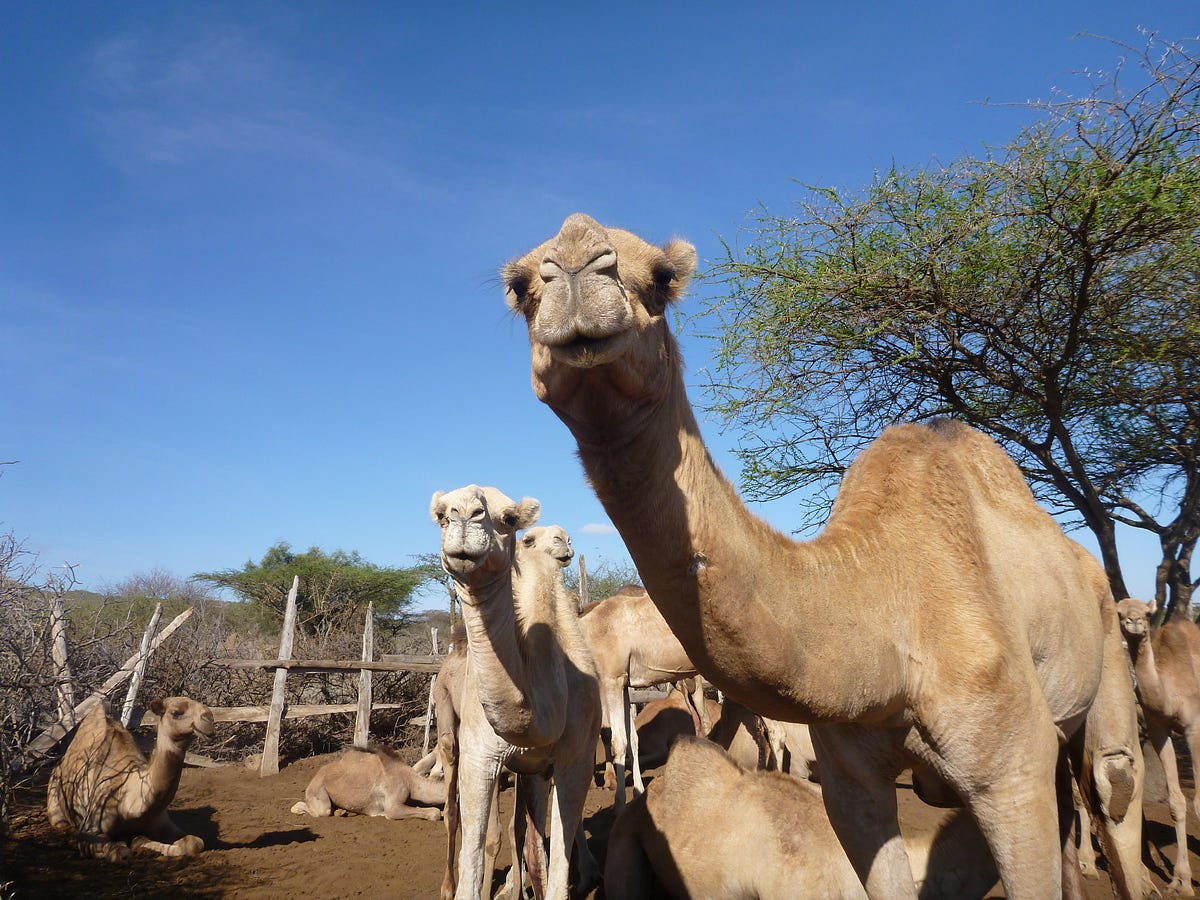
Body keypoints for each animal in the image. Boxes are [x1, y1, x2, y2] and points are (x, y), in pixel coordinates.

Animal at [47, 696, 214, 860]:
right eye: (176, 712)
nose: (209, 718)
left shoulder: (160, 821)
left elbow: (195, 843)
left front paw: (140, 842)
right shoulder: (90, 828)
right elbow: (121, 853)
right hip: (55, 802)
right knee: (63, 825)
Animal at [289, 744, 445, 820]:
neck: (411, 782)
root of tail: (315, 777)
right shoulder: (392, 806)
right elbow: (435, 812)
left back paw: (341, 812)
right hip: (318, 795)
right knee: (313, 809)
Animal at [430, 485, 601, 900]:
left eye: (509, 519)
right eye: (441, 515)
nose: (464, 514)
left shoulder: (576, 757)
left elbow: (553, 858)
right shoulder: (481, 755)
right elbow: (479, 851)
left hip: (535, 770)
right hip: (448, 723)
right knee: (453, 810)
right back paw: (447, 885)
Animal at [577, 585, 706, 812]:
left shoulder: (612, 679)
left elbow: (619, 741)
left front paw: (620, 803)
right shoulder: (624, 684)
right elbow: (633, 739)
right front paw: (638, 791)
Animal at [1116, 596, 1200, 896]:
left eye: (1146, 611)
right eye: (1120, 612)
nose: (1134, 622)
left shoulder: (1194, 728)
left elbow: (1199, 802)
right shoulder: (1158, 728)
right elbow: (1177, 802)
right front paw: (1180, 881)